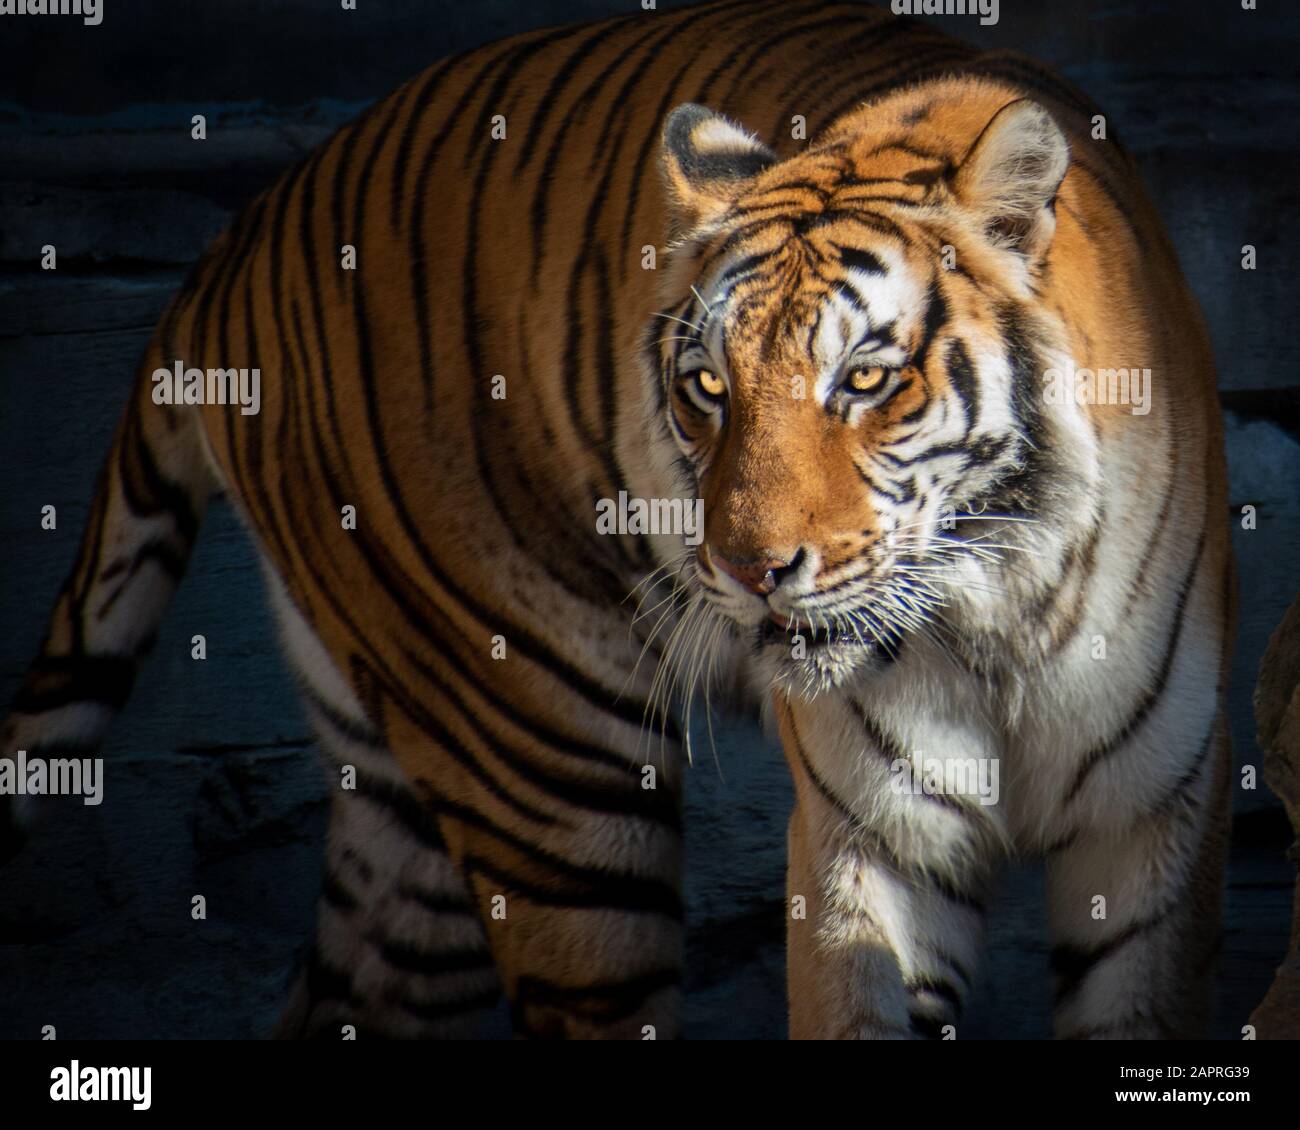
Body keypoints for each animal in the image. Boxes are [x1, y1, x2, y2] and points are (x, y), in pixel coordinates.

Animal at [1, 0, 1233, 1040]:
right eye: (708, 388)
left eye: (865, 380)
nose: (750, 569)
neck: (995, 615)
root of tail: (240, 234)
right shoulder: (871, 837)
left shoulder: (1157, 822)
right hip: (546, 767)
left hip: (409, 827)